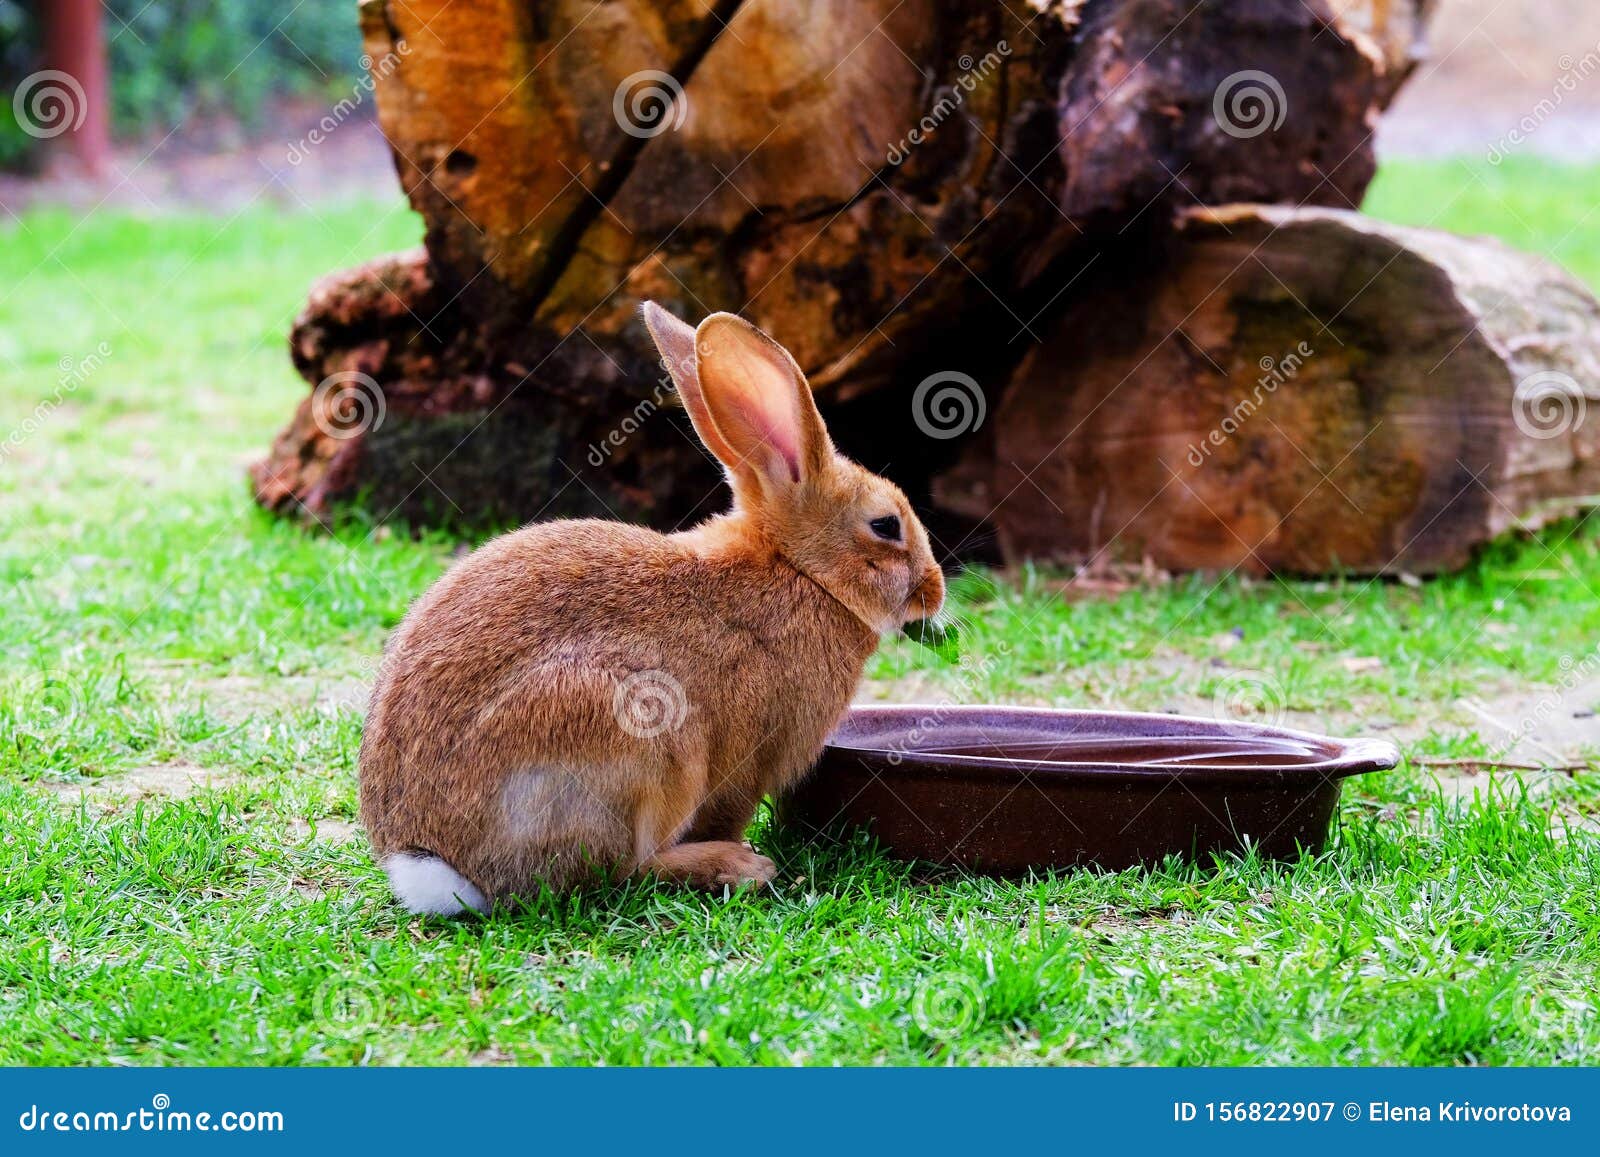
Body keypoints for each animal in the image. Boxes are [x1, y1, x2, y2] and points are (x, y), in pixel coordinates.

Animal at [358, 303, 946, 914]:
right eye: (886, 526)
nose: (935, 589)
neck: (799, 571)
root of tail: (438, 866)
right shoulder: (749, 760)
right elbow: (730, 809)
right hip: (646, 738)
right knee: (621, 871)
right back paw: (735, 866)